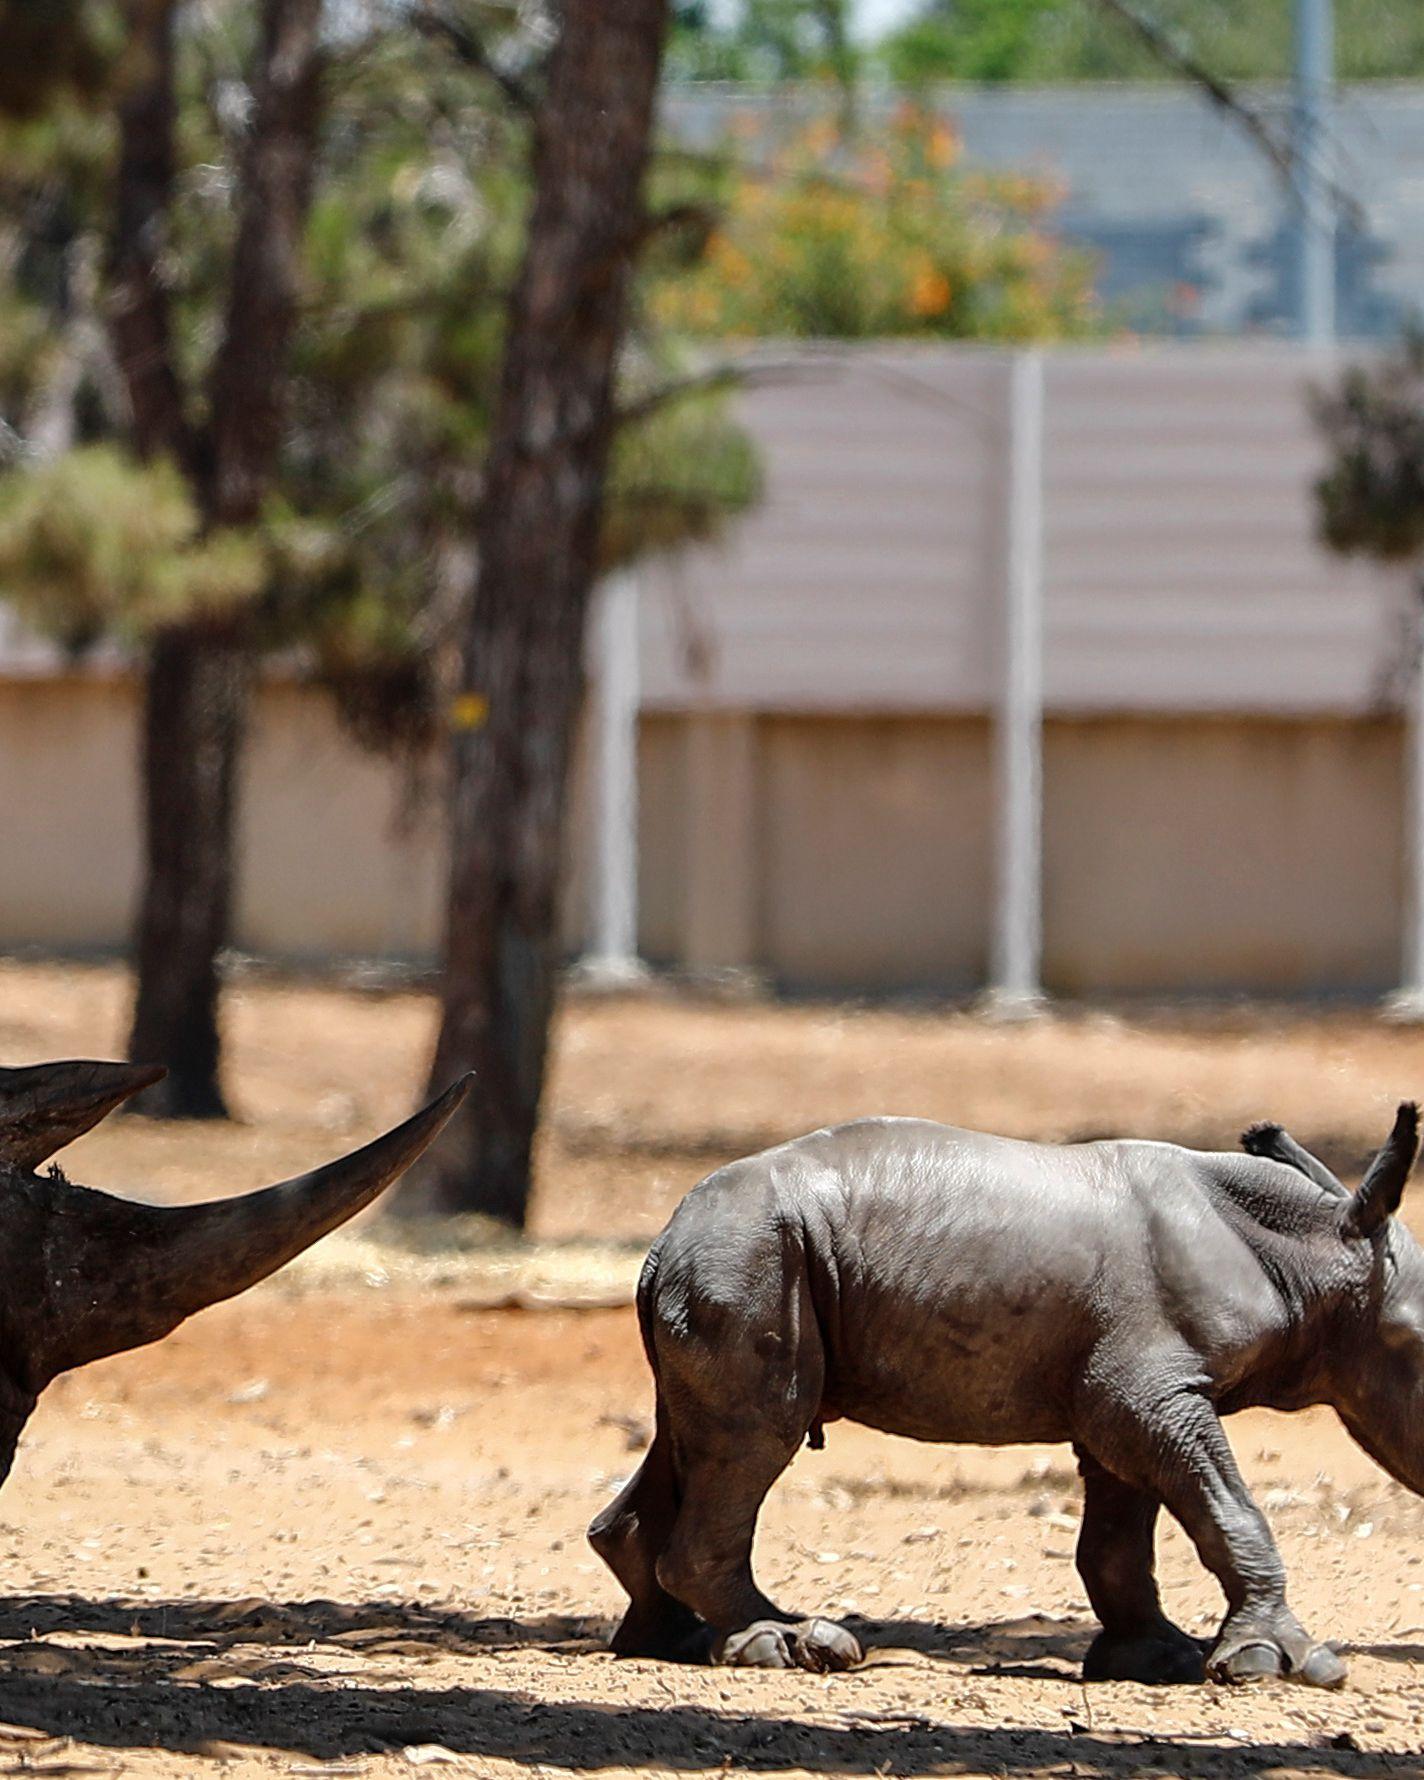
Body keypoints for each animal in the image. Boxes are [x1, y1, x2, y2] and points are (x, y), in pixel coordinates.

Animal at [589, 1101, 1424, 1689]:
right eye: (1416, 1349)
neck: (1307, 1247)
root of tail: (661, 1239)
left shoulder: (1130, 1393)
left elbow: (1120, 1532)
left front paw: (1157, 1657)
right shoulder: (1145, 1393)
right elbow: (1228, 1509)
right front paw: (1288, 1664)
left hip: (736, 1259)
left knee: (697, 1440)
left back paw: (679, 1642)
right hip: (750, 1257)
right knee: (756, 1437)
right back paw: (788, 1644)